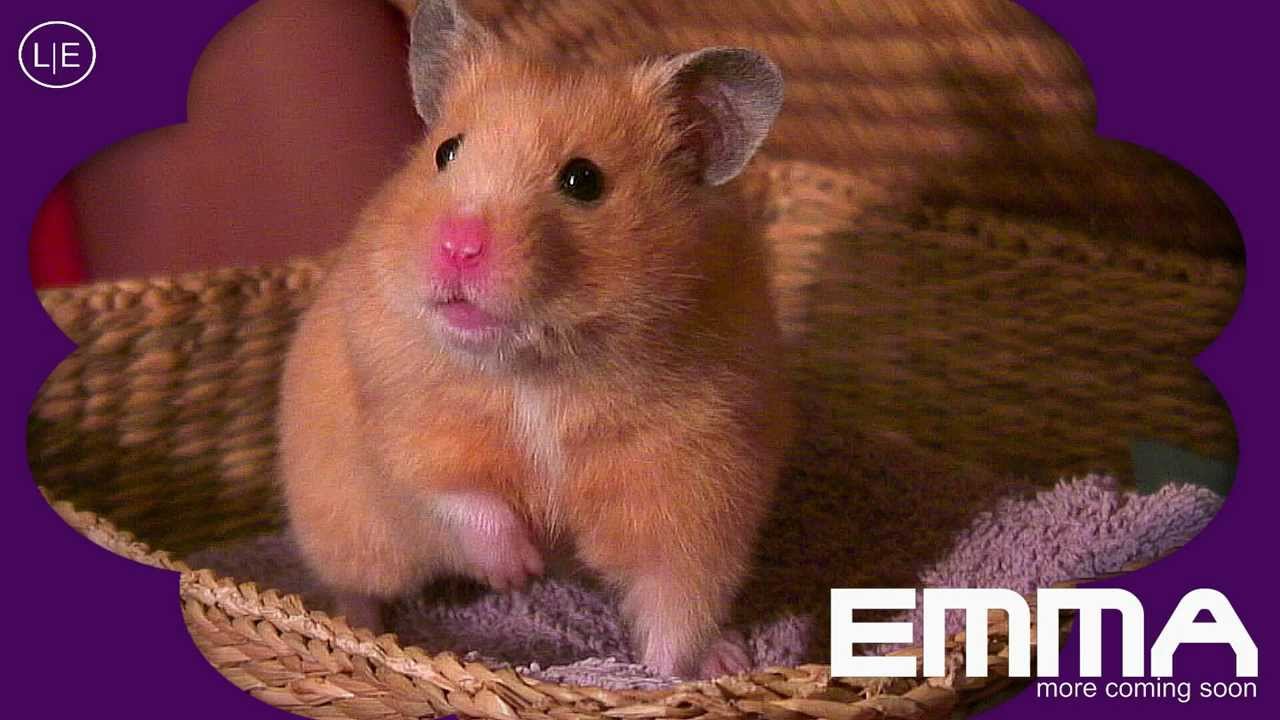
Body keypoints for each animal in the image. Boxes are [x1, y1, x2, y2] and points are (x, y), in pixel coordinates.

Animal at [279, 0, 790, 679]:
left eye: (583, 180)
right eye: (445, 152)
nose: (456, 246)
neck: (538, 369)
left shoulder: (694, 484)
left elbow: (676, 603)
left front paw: (672, 675)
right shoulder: (402, 433)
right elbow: (460, 500)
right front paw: (518, 571)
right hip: (346, 526)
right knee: (357, 583)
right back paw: (367, 626)